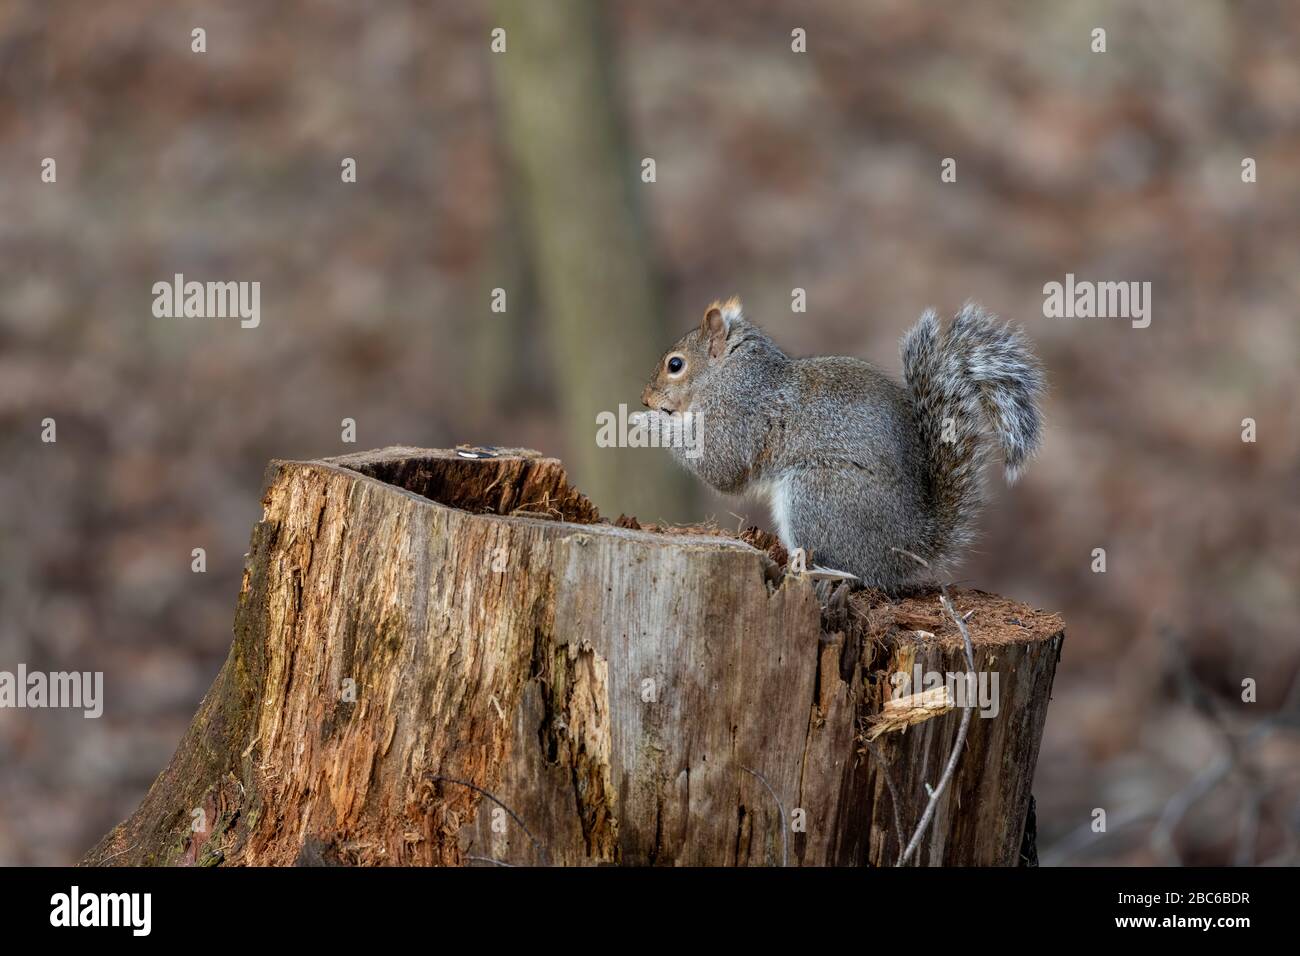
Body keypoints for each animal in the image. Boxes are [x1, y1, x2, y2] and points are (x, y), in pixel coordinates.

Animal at [638, 297, 1045, 589]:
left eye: (675, 365)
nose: (645, 399)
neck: (731, 373)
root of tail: (909, 547)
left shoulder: (741, 414)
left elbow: (722, 467)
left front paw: (649, 423)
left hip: (817, 494)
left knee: (857, 574)